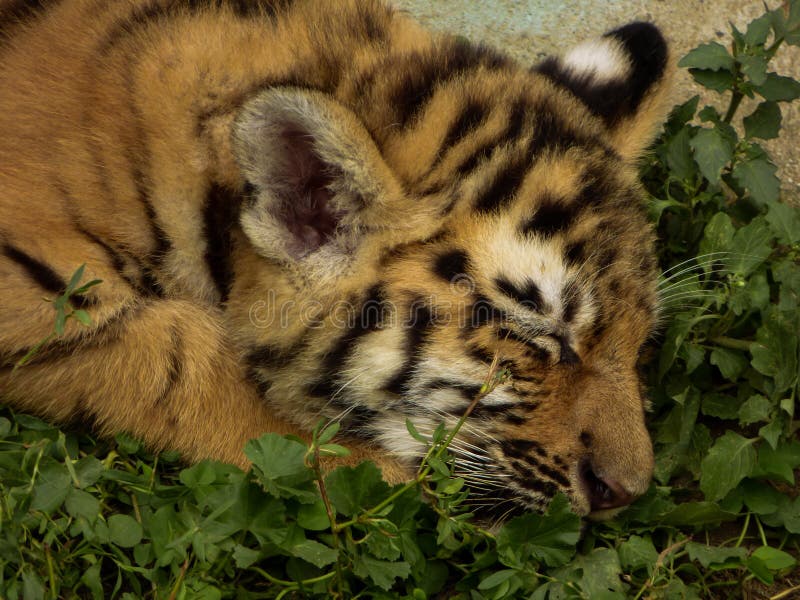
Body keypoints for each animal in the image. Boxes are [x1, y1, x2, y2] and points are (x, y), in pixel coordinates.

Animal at [0, 0, 671, 519]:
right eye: (542, 333)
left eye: (639, 344)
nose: (626, 494)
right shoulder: (40, 294)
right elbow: (182, 364)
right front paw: (397, 481)